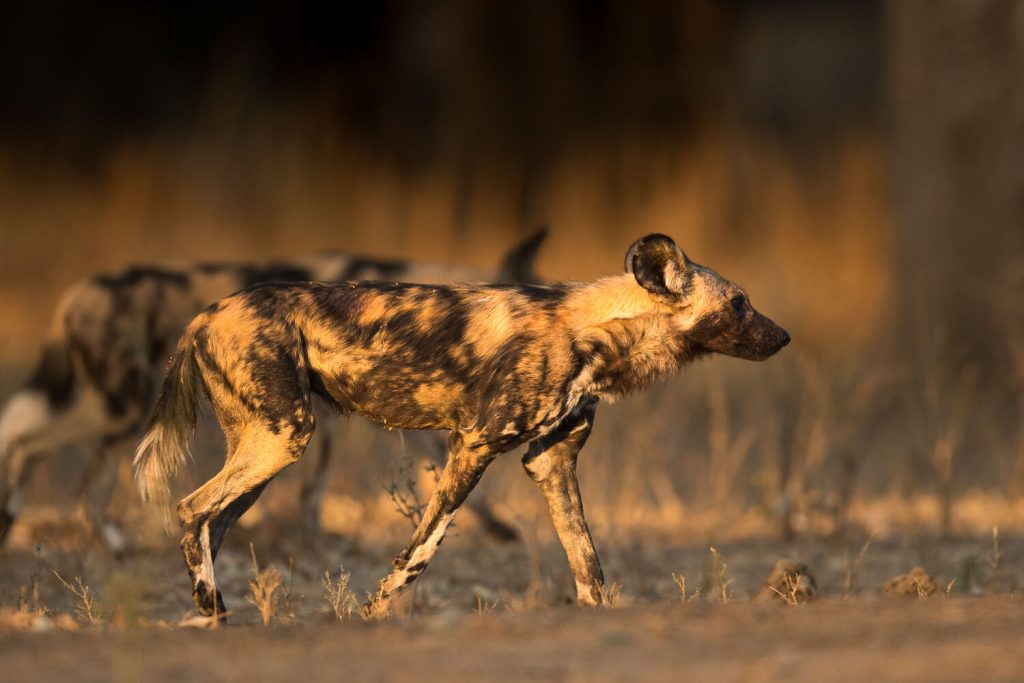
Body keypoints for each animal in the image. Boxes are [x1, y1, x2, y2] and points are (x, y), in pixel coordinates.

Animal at [0, 229, 546, 548]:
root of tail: (77, 293)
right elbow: (319, 489)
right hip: (117, 407)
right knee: (25, 441)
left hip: (122, 416)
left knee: (82, 481)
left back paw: (101, 538)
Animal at [133, 233, 789, 619]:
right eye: (739, 304)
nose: (784, 336)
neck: (594, 331)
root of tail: (202, 316)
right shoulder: (472, 445)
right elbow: (420, 549)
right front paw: (375, 615)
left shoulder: (551, 461)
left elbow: (587, 562)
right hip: (283, 438)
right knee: (191, 508)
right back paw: (211, 607)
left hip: (264, 451)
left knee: (211, 521)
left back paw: (217, 614)